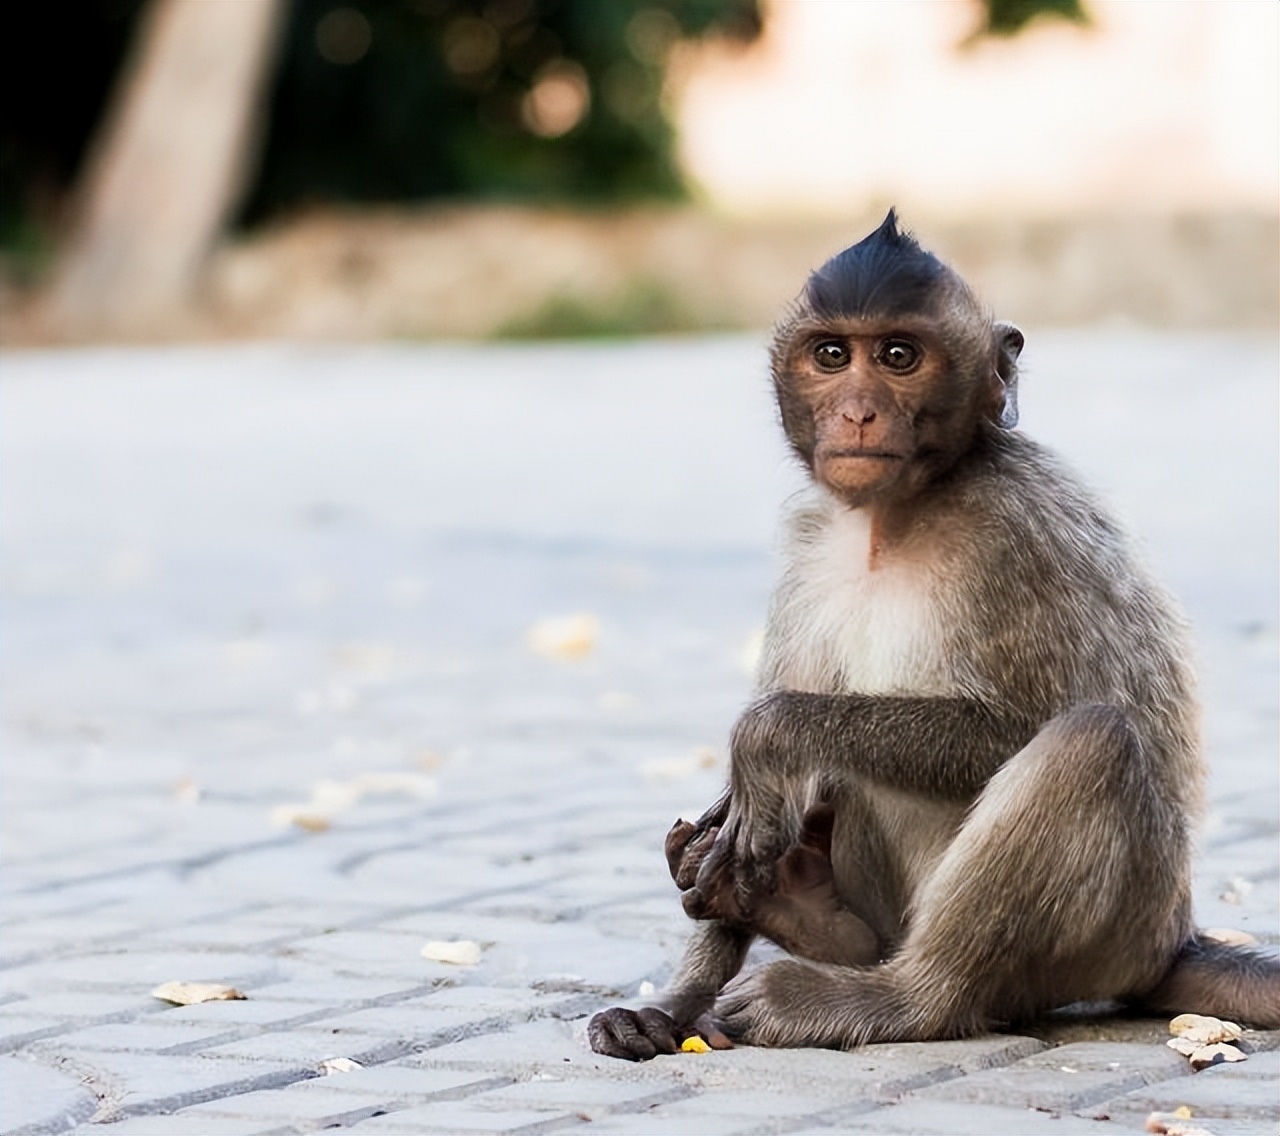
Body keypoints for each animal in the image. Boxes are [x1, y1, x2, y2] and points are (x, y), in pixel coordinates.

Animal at [588, 211, 1280, 1061]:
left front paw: (762, 736)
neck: (892, 519)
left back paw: (898, 998)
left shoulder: (1018, 531)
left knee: (1092, 742)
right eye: (831, 356)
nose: (856, 412)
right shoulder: (809, 542)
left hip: (1119, 931)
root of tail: (1172, 940)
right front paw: (677, 998)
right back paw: (809, 916)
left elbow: (1015, 725)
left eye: (898, 357)